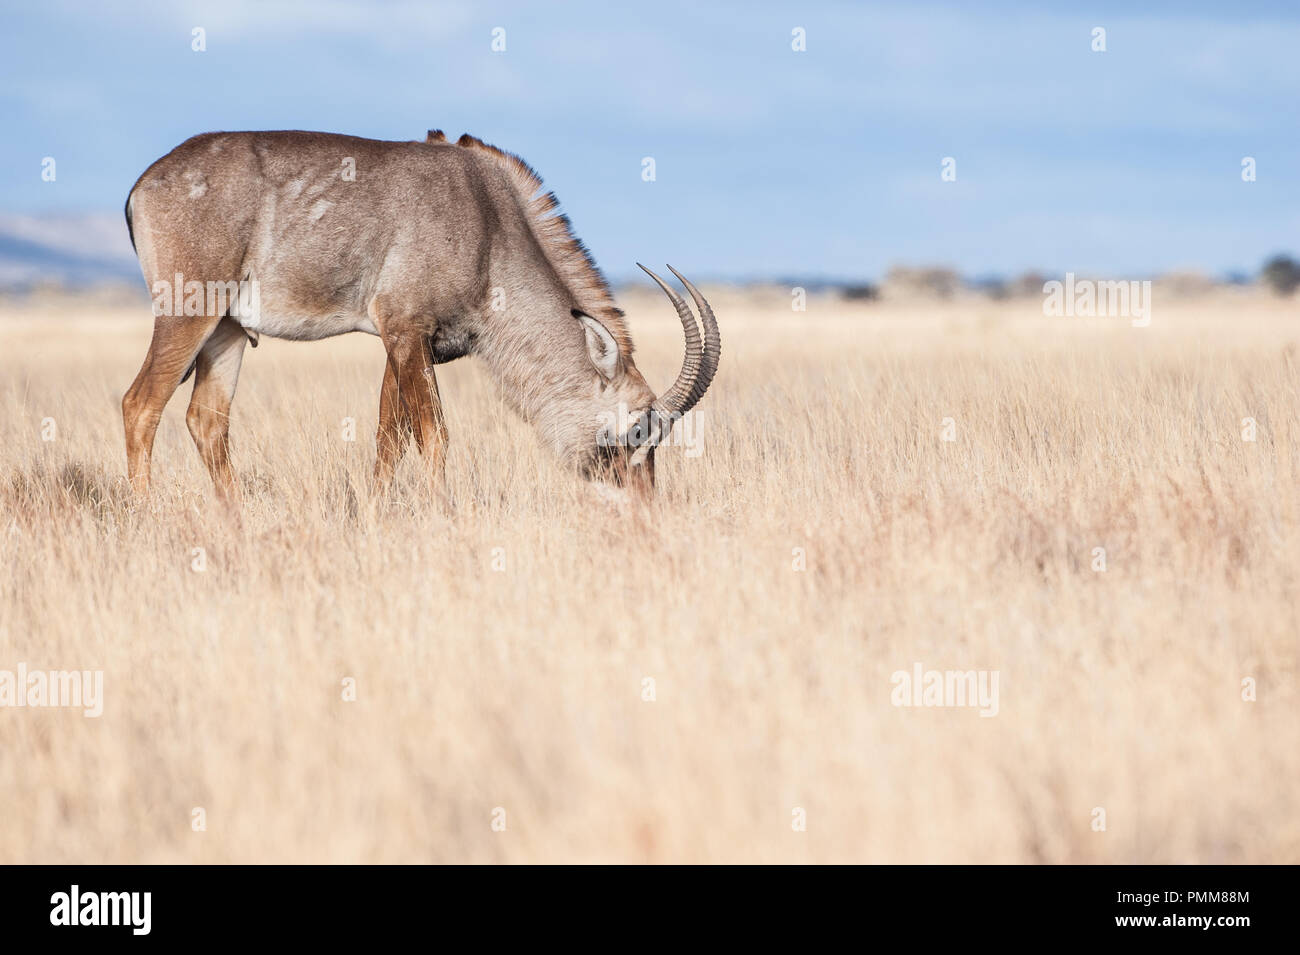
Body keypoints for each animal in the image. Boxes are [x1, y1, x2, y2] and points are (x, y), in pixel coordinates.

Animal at [121, 130, 719, 500]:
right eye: (639, 427)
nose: (641, 509)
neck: (488, 217)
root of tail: (143, 184)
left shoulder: (407, 345)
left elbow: (390, 441)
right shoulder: (408, 333)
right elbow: (434, 436)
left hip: (228, 331)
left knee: (207, 422)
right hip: (188, 315)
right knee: (141, 405)